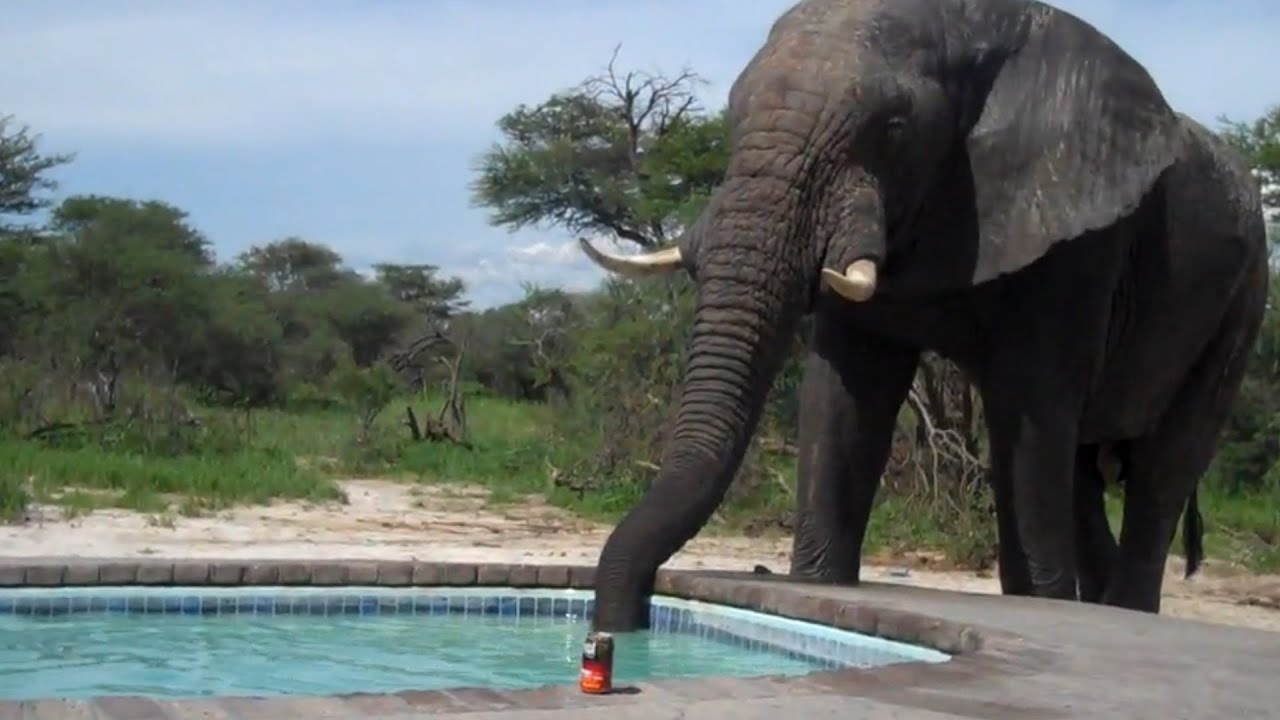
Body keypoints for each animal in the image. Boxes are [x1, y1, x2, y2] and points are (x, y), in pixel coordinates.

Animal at [578, 0, 1269, 632]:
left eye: (893, 127)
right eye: (732, 113)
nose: (621, 623)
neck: (973, 25)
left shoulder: (1079, 235)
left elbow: (1030, 406)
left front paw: (1040, 605)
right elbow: (845, 396)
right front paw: (819, 584)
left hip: (1244, 297)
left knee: (1164, 466)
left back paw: (1120, 610)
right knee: (1084, 473)